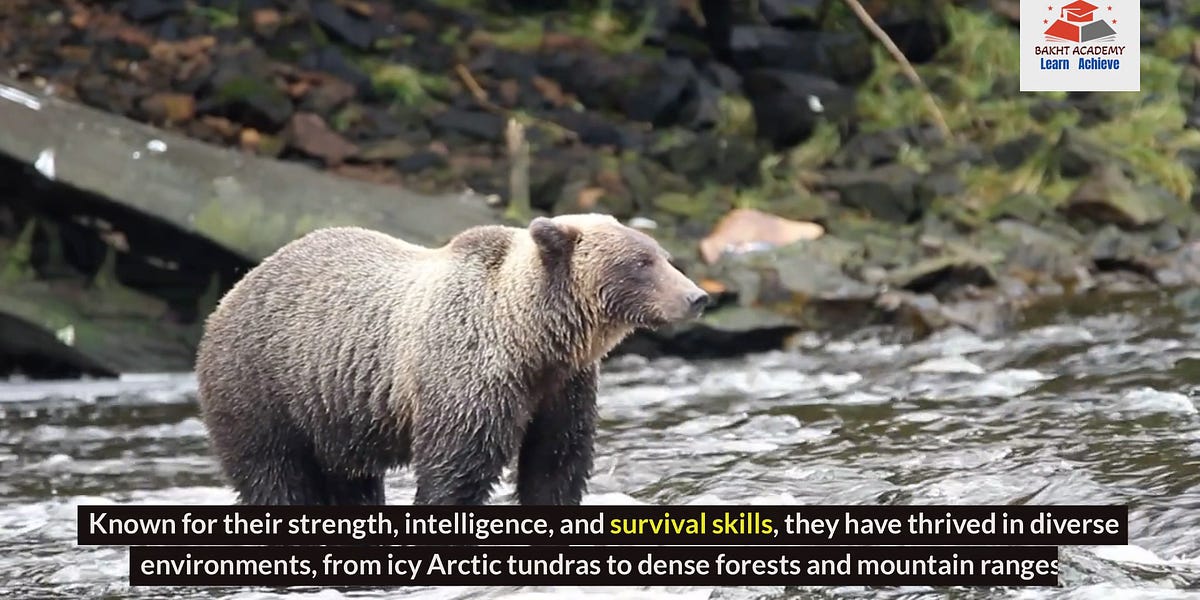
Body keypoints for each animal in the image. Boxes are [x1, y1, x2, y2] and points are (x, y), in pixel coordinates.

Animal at [195, 213, 710, 506]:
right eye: (640, 262)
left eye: (663, 255)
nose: (697, 296)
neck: (532, 341)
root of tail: (234, 290)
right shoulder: (467, 374)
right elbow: (459, 467)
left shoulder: (564, 387)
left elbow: (556, 460)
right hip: (260, 384)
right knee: (273, 473)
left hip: (335, 414)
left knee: (351, 481)